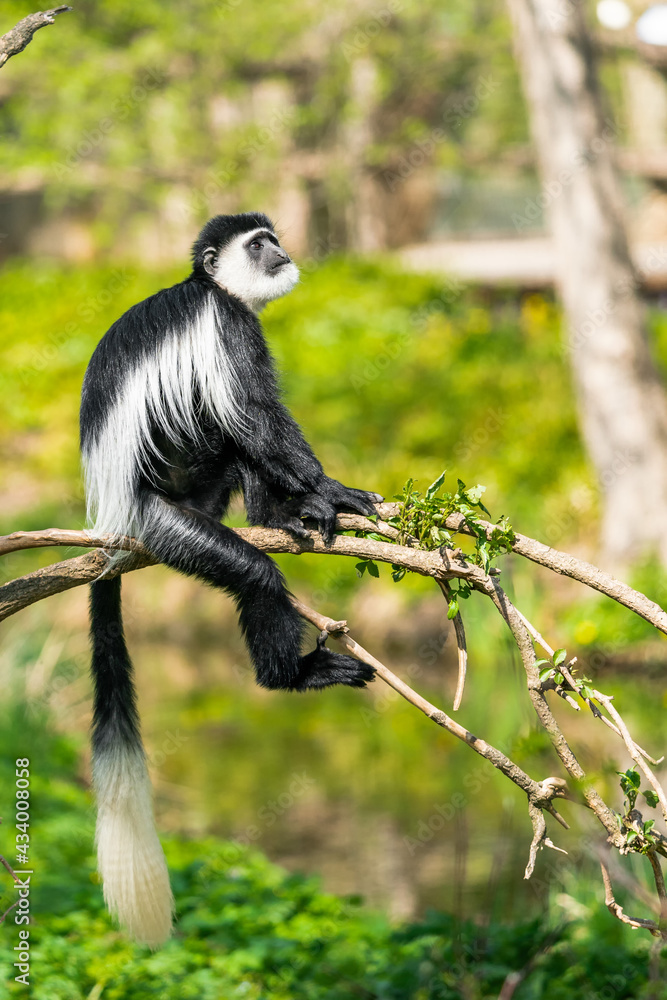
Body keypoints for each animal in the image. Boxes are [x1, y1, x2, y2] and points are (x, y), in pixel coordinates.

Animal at [80, 213, 382, 948]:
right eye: (258, 243)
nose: (282, 251)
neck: (210, 288)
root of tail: (114, 520)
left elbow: (250, 429)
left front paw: (315, 501)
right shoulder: (226, 326)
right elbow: (254, 412)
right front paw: (334, 490)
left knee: (231, 450)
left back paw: (278, 517)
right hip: (164, 519)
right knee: (249, 559)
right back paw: (292, 671)